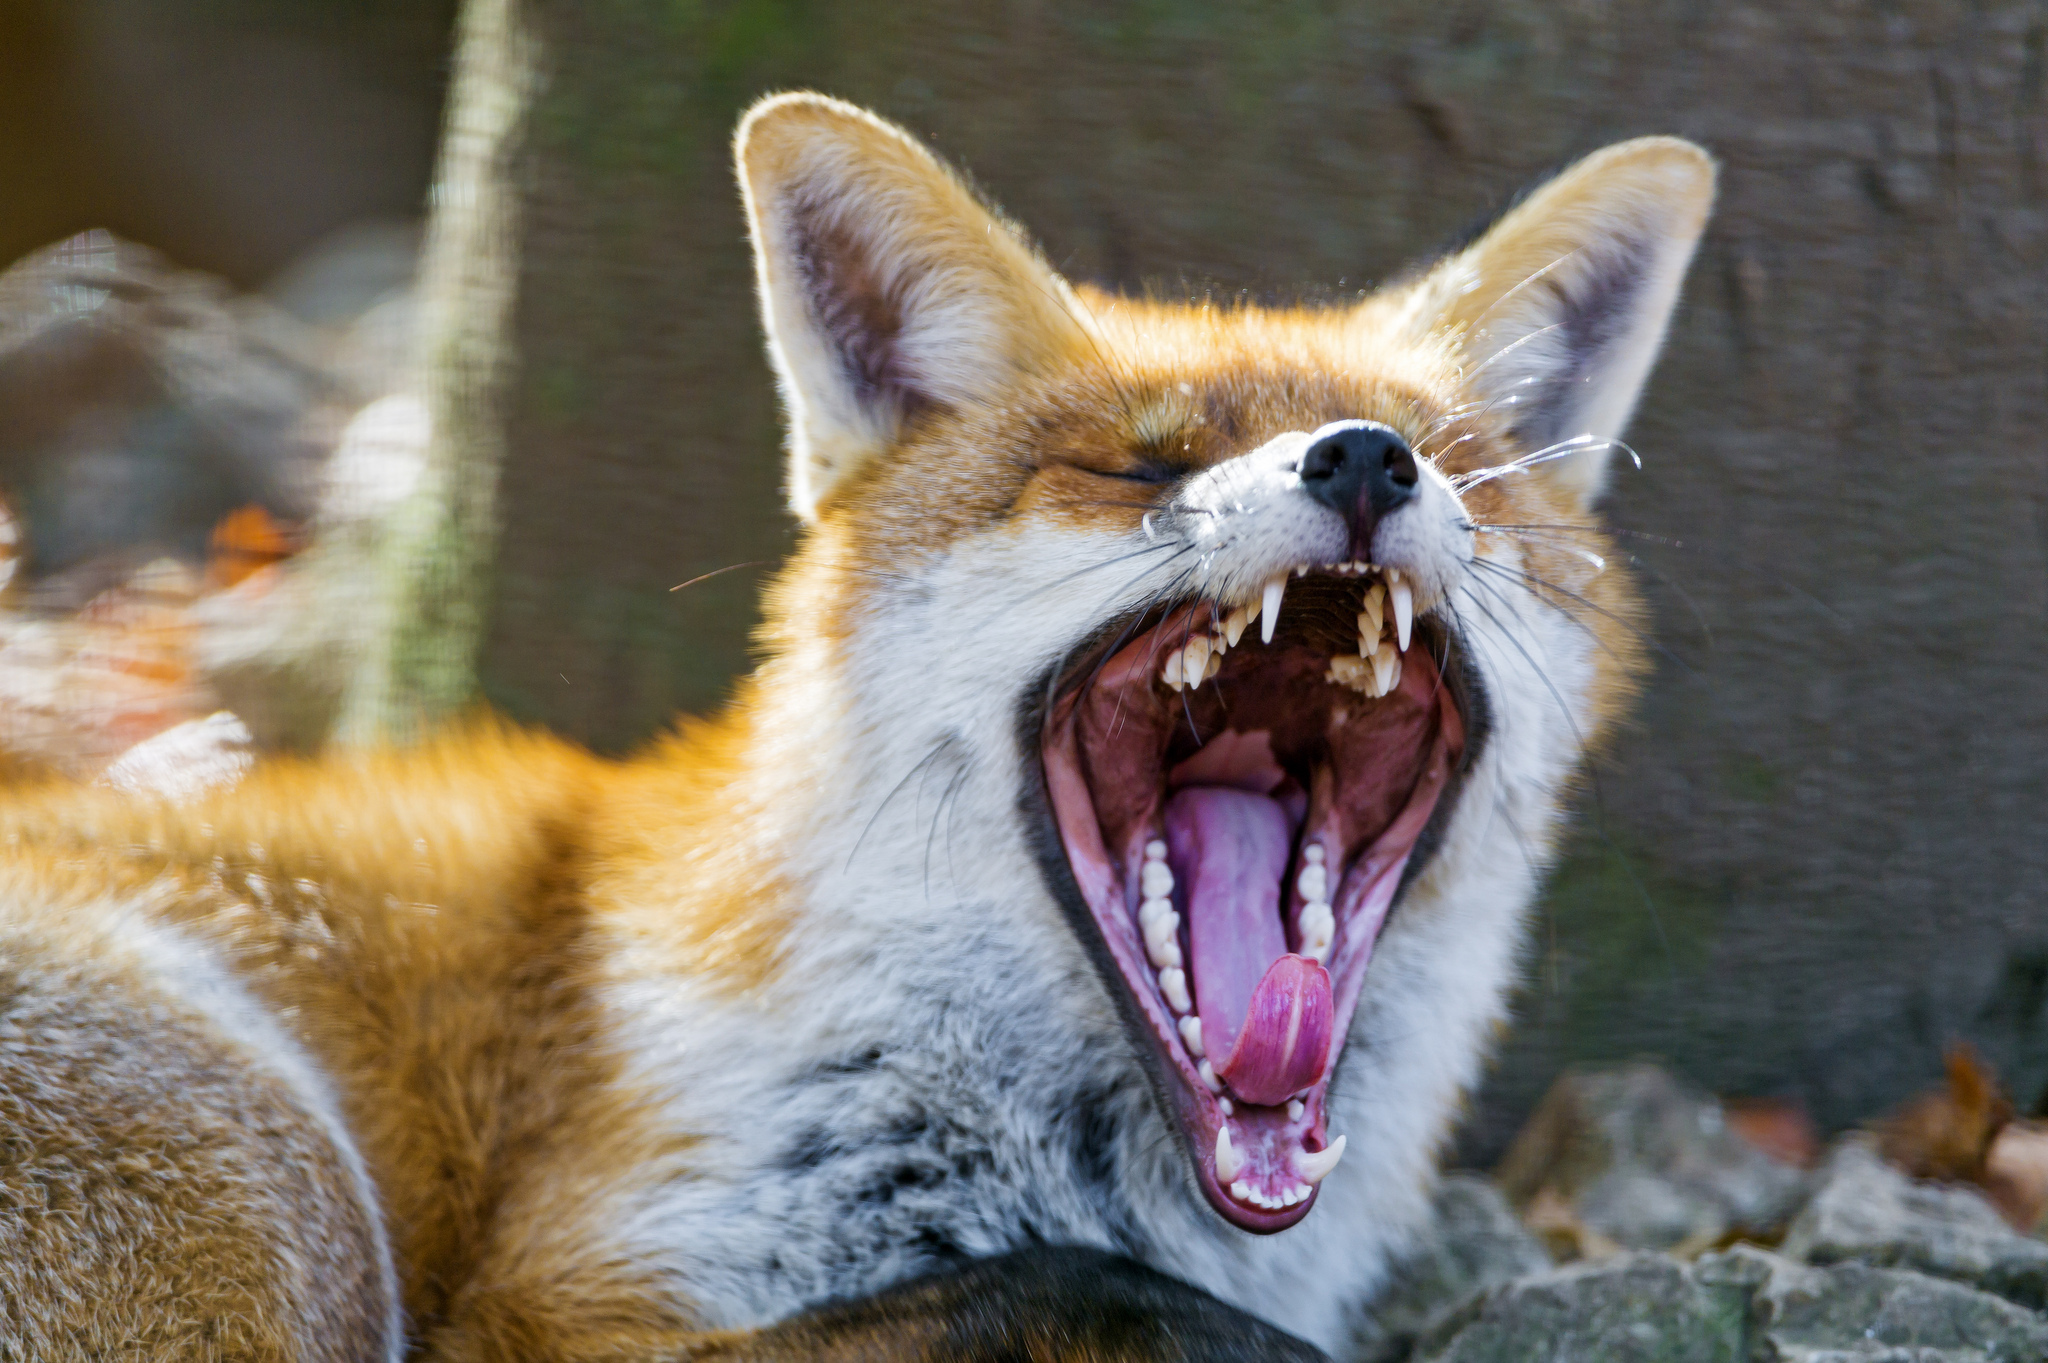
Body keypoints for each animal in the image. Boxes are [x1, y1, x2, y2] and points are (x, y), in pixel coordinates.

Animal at [0, 94, 1713, 1360]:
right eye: (1141, 469)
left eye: (1459, 470)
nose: (1364, 459)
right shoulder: (569, 1289)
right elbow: (1062, 1289)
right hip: (280, 1191)